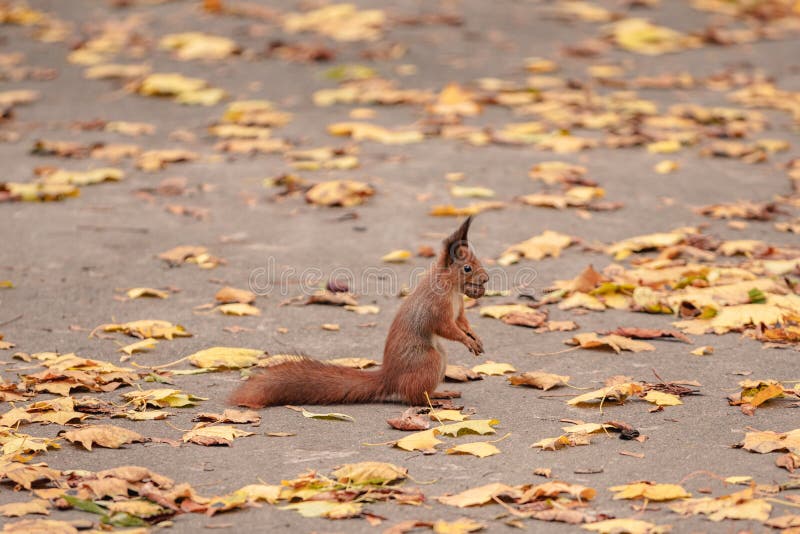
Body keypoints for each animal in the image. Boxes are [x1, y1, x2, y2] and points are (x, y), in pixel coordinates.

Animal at [228, 216, 488, 408]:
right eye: (467, 268)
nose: (486, 279)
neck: (450, 288)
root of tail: (389, 378)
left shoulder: (458, 309)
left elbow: (462, 322)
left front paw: (475, 337)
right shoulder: (436, 308)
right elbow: (447, 328)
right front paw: (467, 340)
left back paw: (442, 394)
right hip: (429, 360)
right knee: (413, 397)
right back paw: (434, 400)